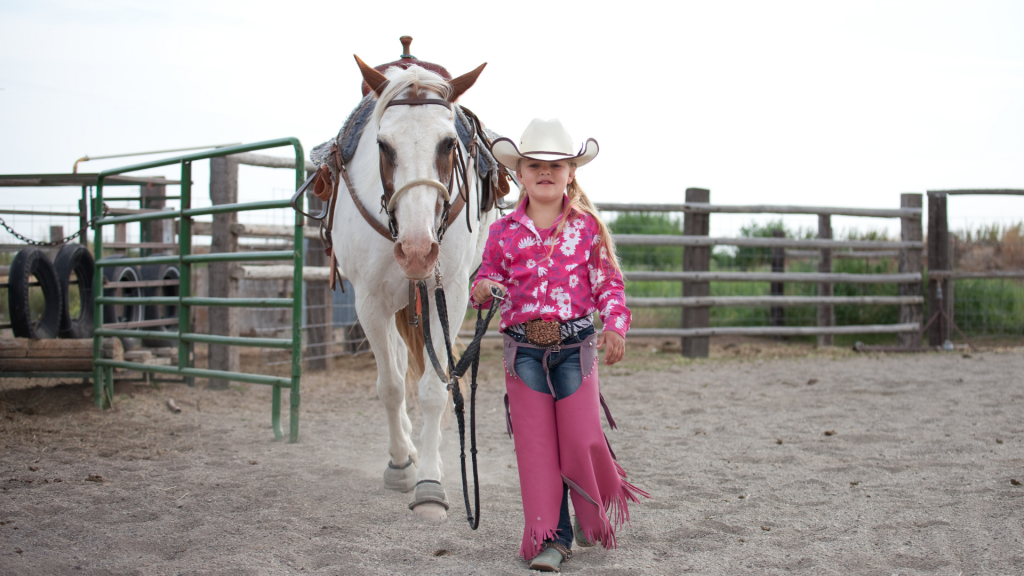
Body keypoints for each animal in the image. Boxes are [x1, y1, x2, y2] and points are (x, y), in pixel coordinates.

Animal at [311, 55, 503, 520]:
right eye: (383, 145)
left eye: (449, 144)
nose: (417, 250)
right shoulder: (369, 301)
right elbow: (392, 386)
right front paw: (400, 464)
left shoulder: (449, 292)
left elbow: (434, 389)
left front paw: (431, 484)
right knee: (396, 367)